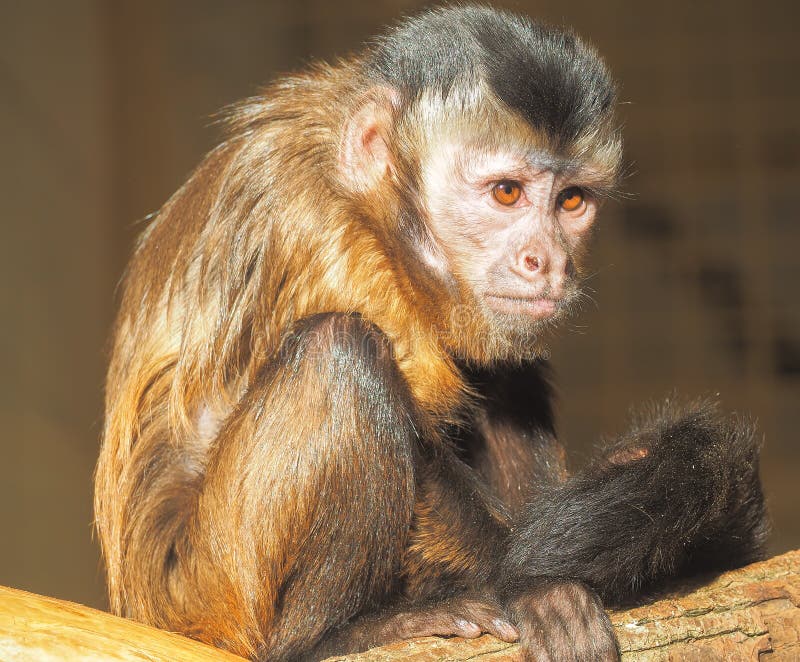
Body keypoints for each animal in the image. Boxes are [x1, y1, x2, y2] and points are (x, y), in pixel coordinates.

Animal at [94, 5, 768, 661]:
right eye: (506, 193)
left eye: (572, 202)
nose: (548, 260)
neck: (374, 204)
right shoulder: (325, 235)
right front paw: (533, 584)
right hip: (212, 585)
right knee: (340, 352)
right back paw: (325, 638)